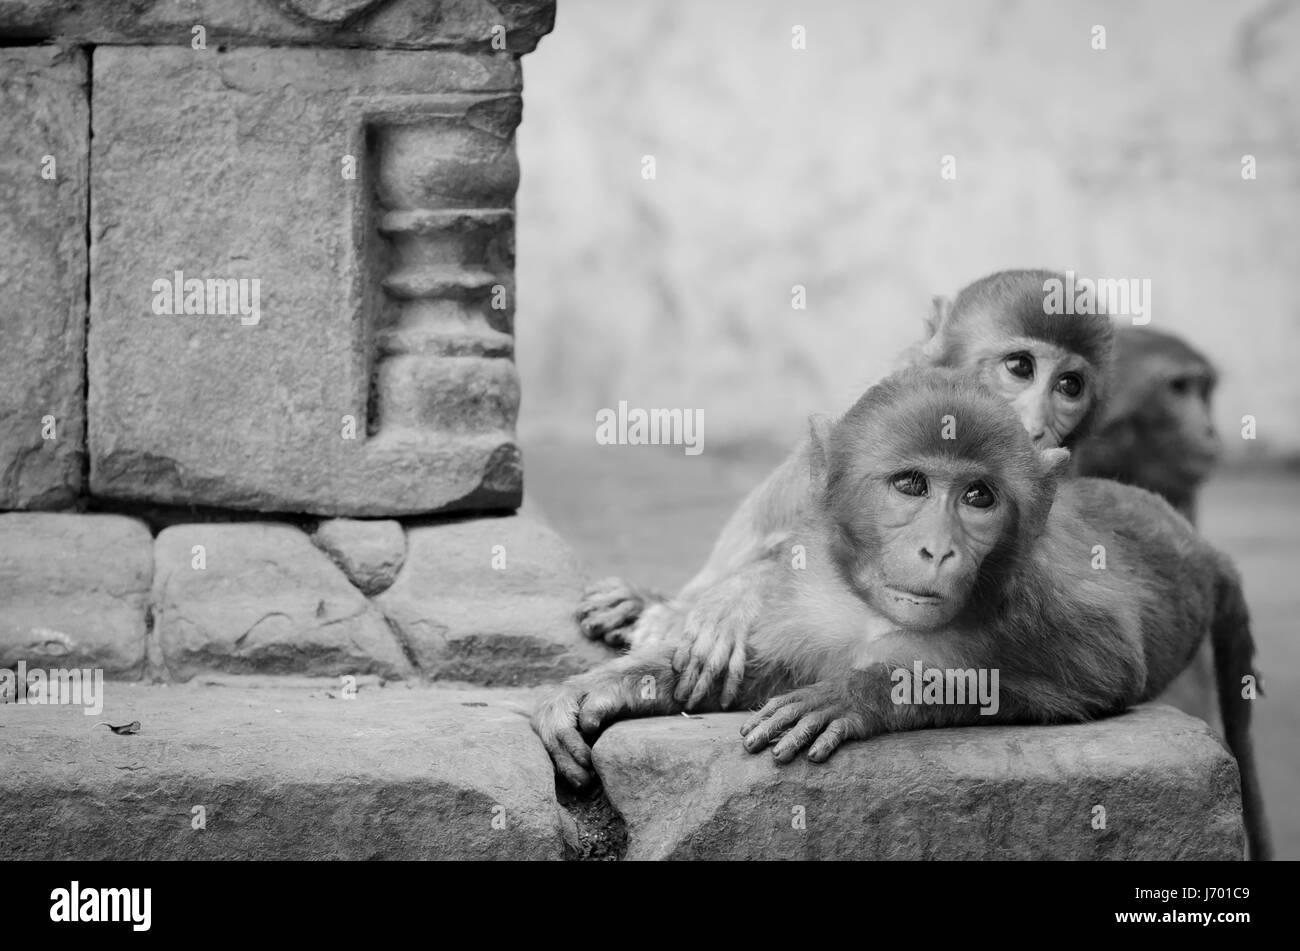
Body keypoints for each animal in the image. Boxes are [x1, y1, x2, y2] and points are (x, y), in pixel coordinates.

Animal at [536, 368, 1271, 860]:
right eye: (911, 484)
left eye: (978, 496)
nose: (938, 549)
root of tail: (1197, 542)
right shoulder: (816, 594)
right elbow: (754, 670)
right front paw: (614, 684)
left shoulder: (1048, 600)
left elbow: (1102, 674)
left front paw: (864, 691)